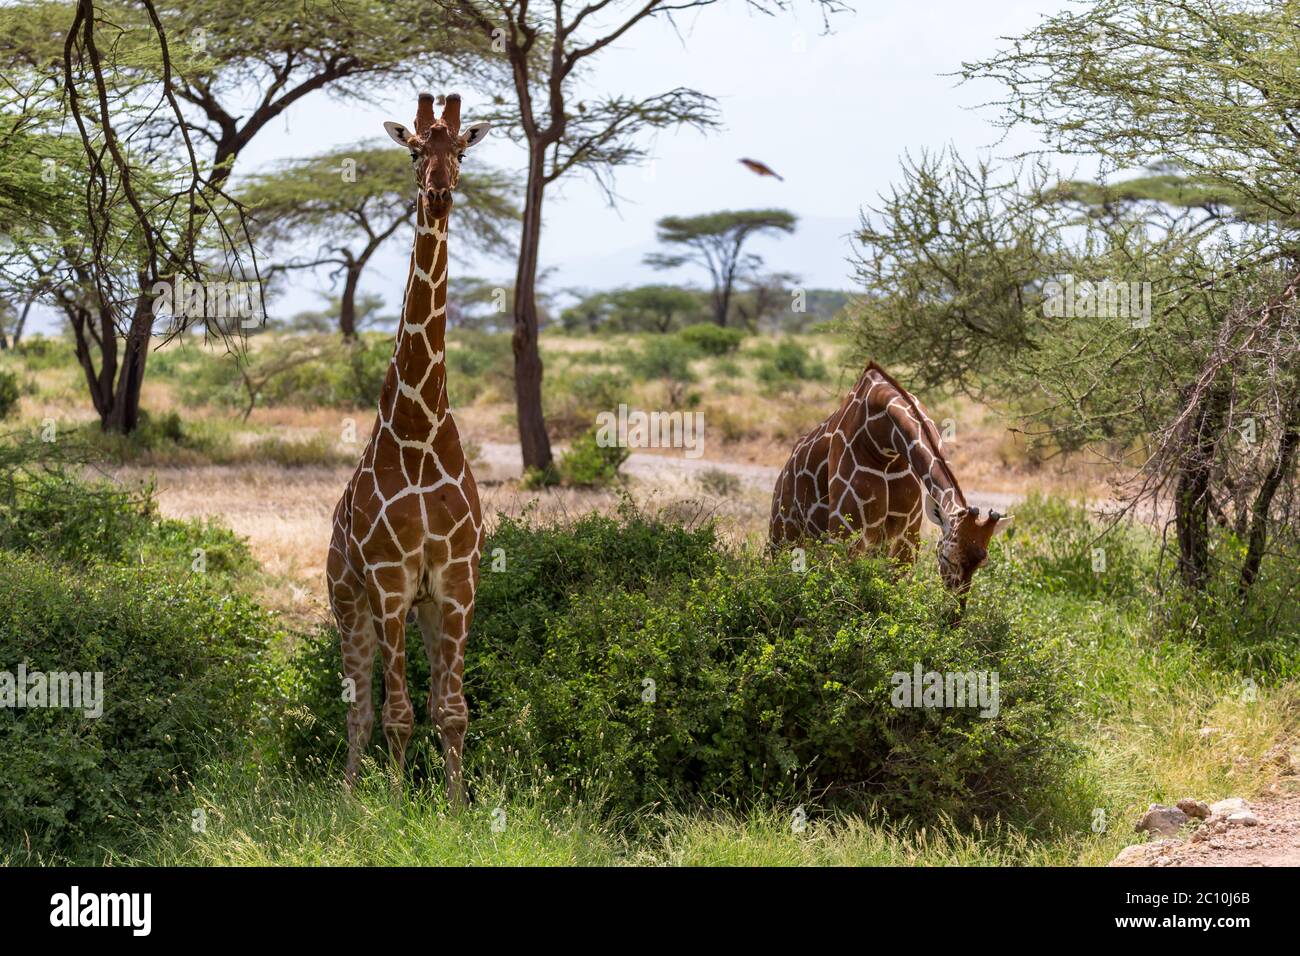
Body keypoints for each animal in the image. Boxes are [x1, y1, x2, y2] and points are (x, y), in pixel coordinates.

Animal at [769, 361, 1010, 602]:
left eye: (983, 562)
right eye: (947, 557)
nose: (955, 609)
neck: (884, 442)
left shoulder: (906, 535)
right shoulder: (847, 532)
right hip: (784, 535)